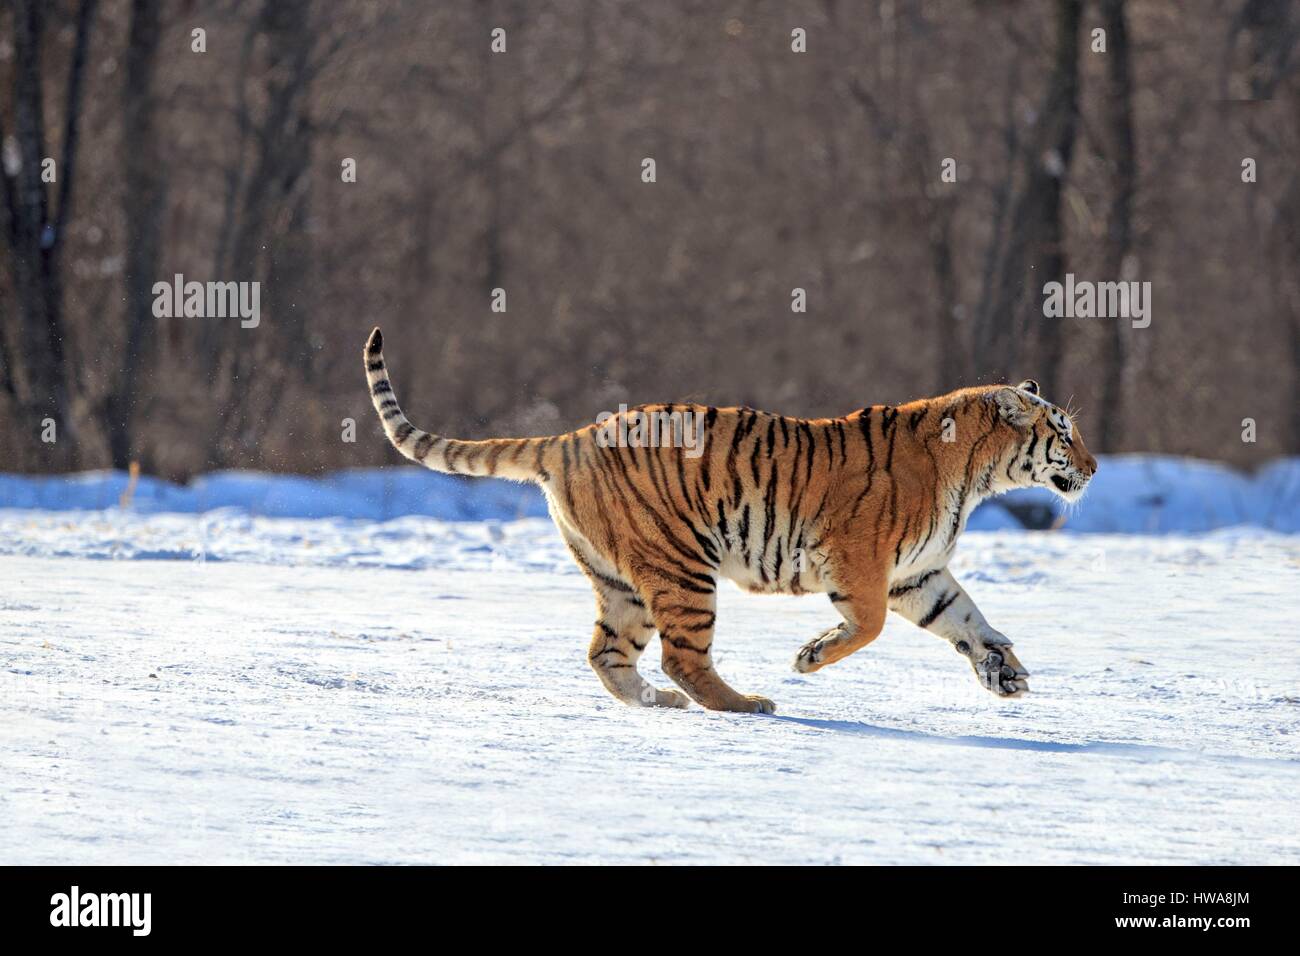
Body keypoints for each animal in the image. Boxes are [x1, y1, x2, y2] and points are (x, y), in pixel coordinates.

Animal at [364, 327, 1097, 714]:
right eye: (1064, 431)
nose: (1092, 468)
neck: (977, 475)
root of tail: (570, 437)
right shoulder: (860, 562)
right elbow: (868, 627)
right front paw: (809, 657)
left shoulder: (920, 573)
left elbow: (970, 618)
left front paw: (1005, 671)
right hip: (683, 568)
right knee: (682, 656)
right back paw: (745, 704)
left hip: (624, 581)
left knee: (607, 652)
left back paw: (657, 703)